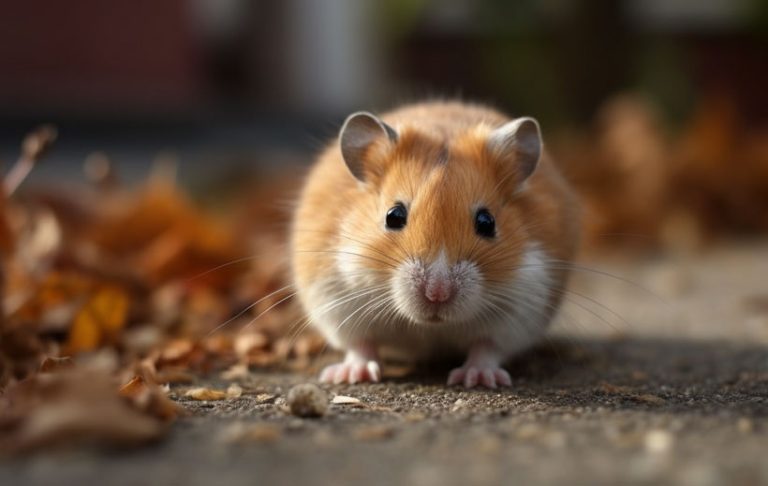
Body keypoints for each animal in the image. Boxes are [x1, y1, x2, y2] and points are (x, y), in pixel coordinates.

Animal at [291, 101, 580, 388]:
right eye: (393, 216)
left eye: (487, 222)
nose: (437, 294)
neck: (431, 327)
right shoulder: (335, 299)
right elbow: (360, 344)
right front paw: (350, 376)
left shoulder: (520, 309)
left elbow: (487, 348)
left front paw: (477, 379)